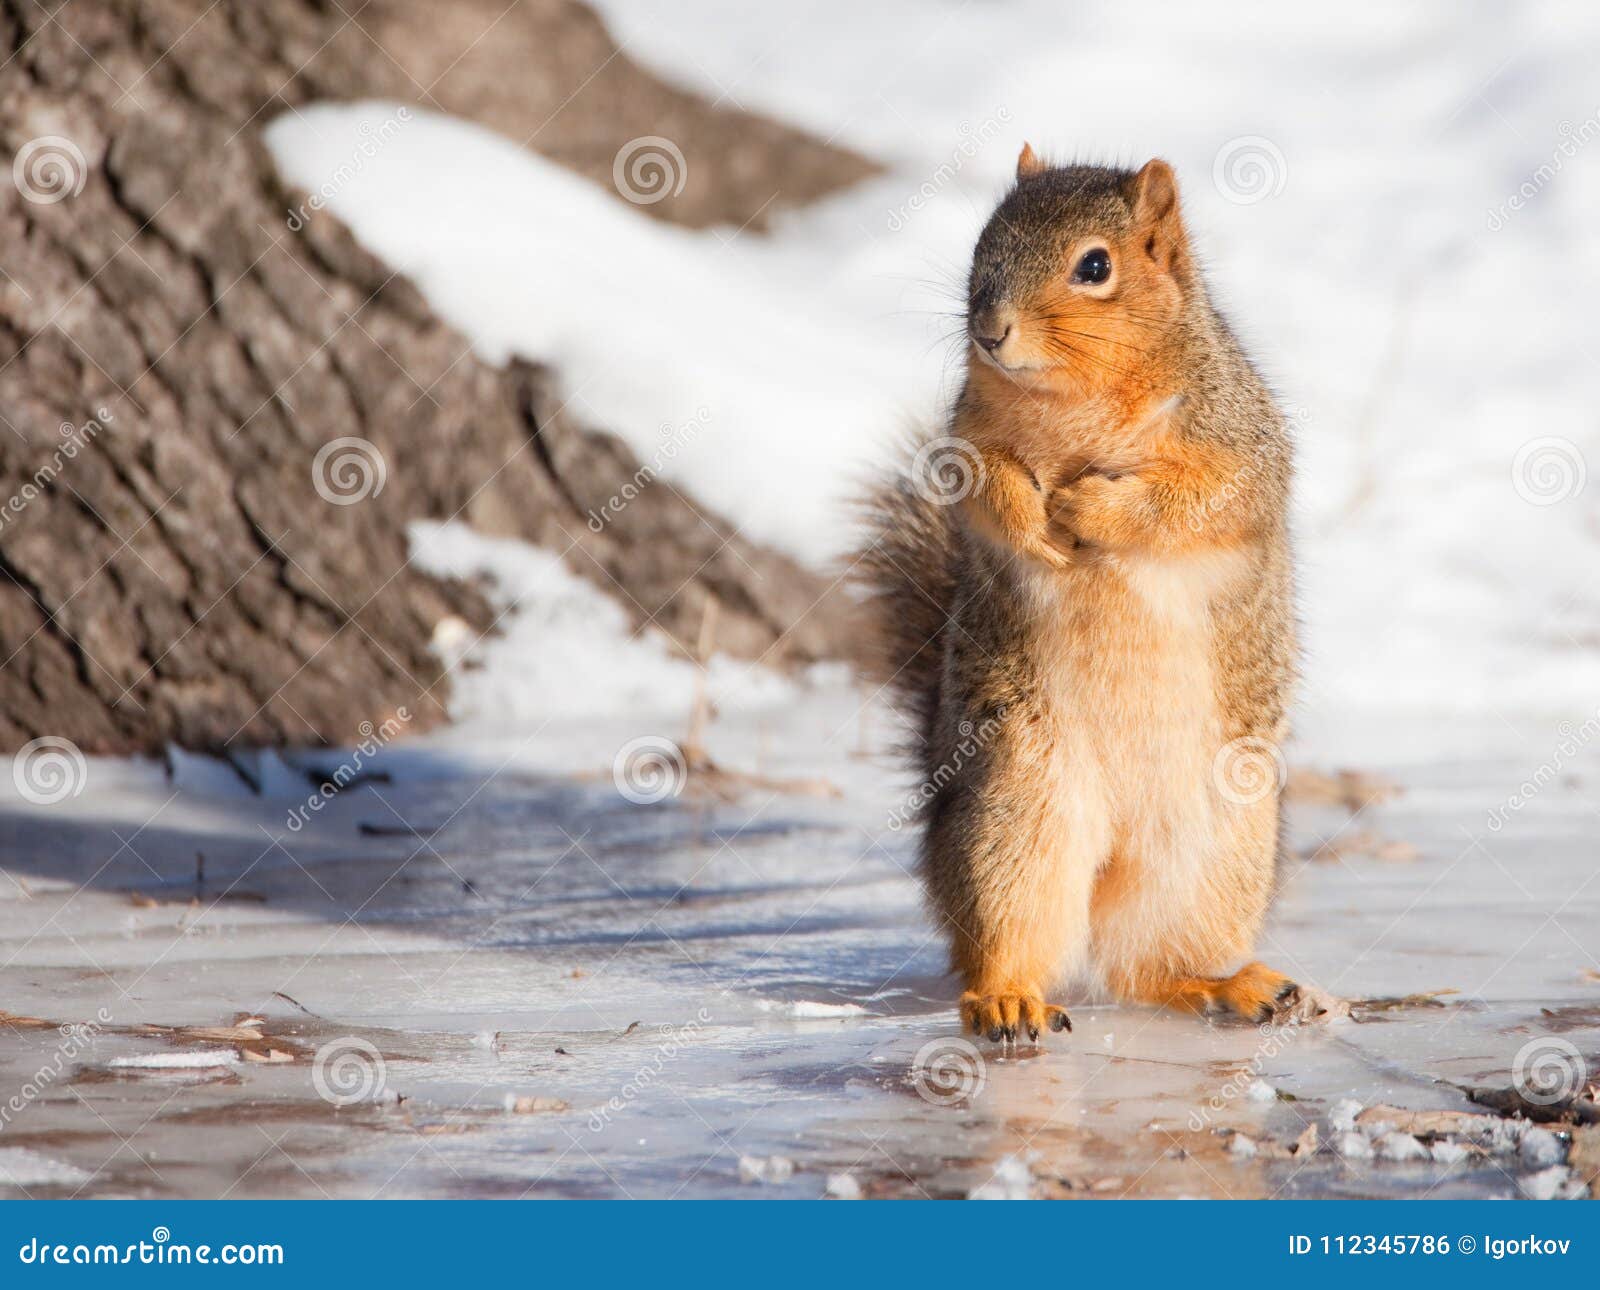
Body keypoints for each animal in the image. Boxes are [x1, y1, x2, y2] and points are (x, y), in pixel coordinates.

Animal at [855, 145, 1301, 1043]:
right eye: (983, 242)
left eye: (1095, 266)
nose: (989, 331)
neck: (1074, 398)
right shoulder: (966, 439)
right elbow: (981, 488)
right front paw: (1033, 518)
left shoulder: (1238, 443)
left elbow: (1202, 499)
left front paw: (1088, 508)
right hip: (1017, 812)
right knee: (1014, 932)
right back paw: (1006, 999)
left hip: (1215, 853)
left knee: (1146, 966)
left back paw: (1225, 985)